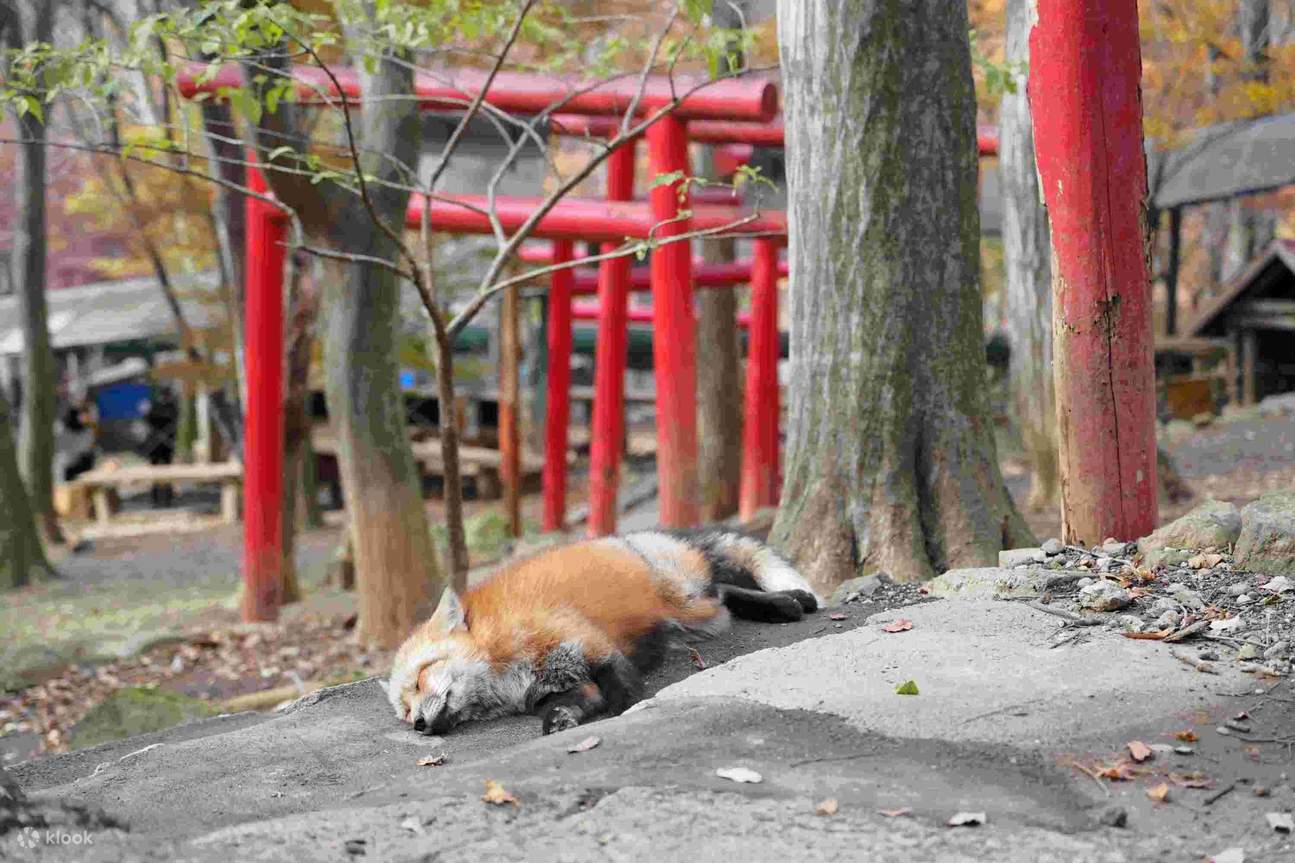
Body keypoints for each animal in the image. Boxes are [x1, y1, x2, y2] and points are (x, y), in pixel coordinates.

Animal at [385, 529, 820, 736]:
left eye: (421, 679)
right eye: (405, 711)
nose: (419, 725)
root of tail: (626, 538)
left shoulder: (589, 645)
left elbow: (622, 690)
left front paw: (625, 714)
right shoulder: (551, 688)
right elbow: (575, 703)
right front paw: (561, 723)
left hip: (687, 604)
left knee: (722, 589)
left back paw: (788, 602)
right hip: (691, 618)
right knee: (726, 595)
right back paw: (788, 603)